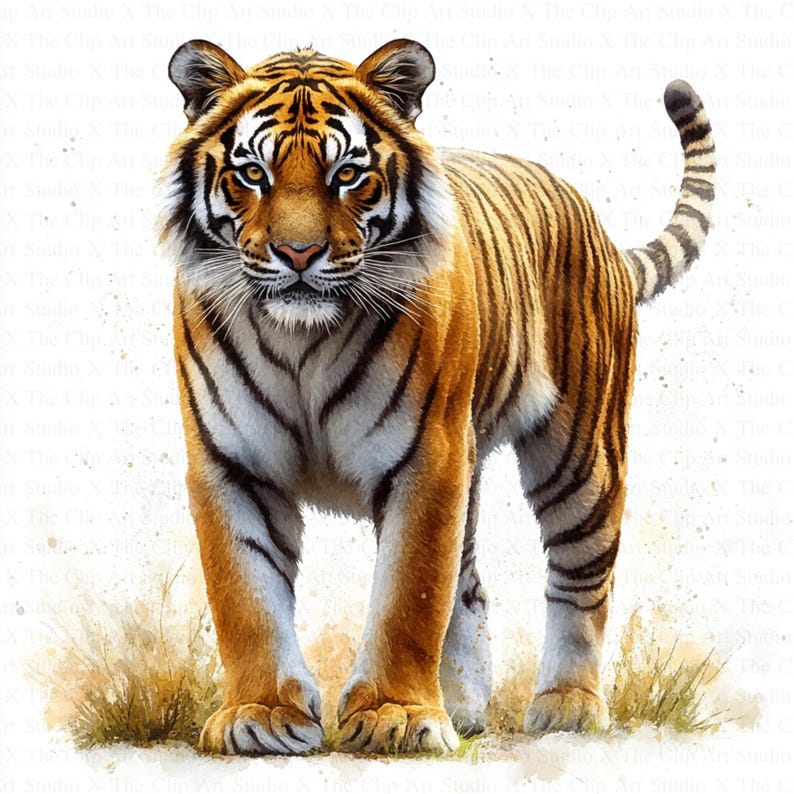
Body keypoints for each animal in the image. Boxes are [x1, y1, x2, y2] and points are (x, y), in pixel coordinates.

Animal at [158, 38, 716, 755]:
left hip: (580, 454)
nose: (299, 253)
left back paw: (567, 705)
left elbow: (411, 595)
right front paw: (262, 716)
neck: (302, 339)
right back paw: (466, 707)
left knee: (583, 576)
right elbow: (245, 597)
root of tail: (597, 227)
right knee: (471, 582)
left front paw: (395, 716)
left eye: (347, 174)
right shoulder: (232, 463)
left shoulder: (429, 457)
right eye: (252, 173)